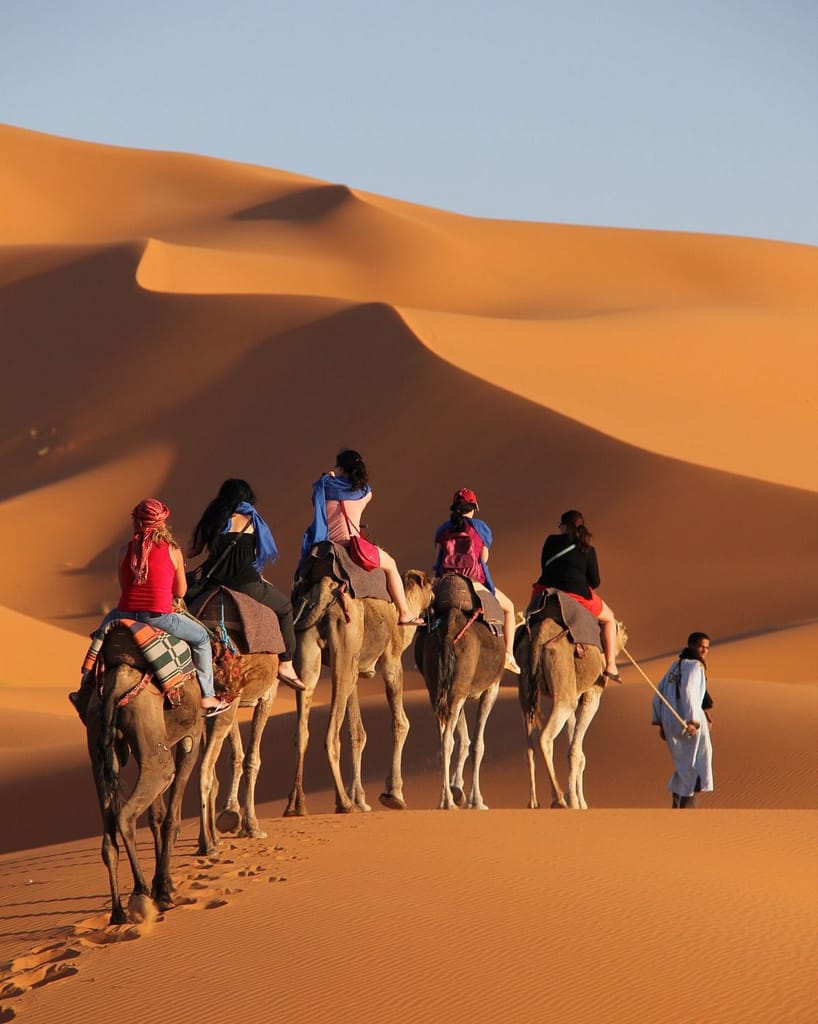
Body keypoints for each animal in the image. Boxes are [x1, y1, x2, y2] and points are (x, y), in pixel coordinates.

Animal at [85, 626, 203, 925]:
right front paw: (164, 890)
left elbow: (156, 816)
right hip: (153, 745)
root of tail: (116, 684)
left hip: (98, 745)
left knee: (109, 835)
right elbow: (171, 818)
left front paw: (165, 884)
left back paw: (118, 914)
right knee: (128, 813)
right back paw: (141, 892)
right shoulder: (192, 735)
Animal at [284, 569, 433, 816]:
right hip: (344, 638)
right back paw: (343, 803)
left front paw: (361, 800)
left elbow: (357, 733)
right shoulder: (392, 658)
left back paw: (296, 806)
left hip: (311, 650)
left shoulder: (356, 670)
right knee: (330, 734)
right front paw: (393, 795)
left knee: (302, 730)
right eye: (431, 583)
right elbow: (401, 723)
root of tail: (324, 592)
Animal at [418, 580, 506, 810]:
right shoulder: (491, 688)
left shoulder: (457, 691)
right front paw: (477, 801)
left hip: (438, 689)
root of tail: (449, 630)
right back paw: (448, 801)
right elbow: (477, 744)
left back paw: (445, 799)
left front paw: (458, 789)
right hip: (457, 689)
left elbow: (465, 740)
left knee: (443, 739)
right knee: (448, 740)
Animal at [516, 593, 627, 809]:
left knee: (529, 746)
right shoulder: (592, 692)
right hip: (562, 681)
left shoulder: (573, 691)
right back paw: (558, 799)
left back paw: (533, 802)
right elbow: (575, 752)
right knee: (545, 738)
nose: (626, 633)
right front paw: (576, 802)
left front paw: (578, 799)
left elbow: (576, 749)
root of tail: (540, 636)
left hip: (525, 687)